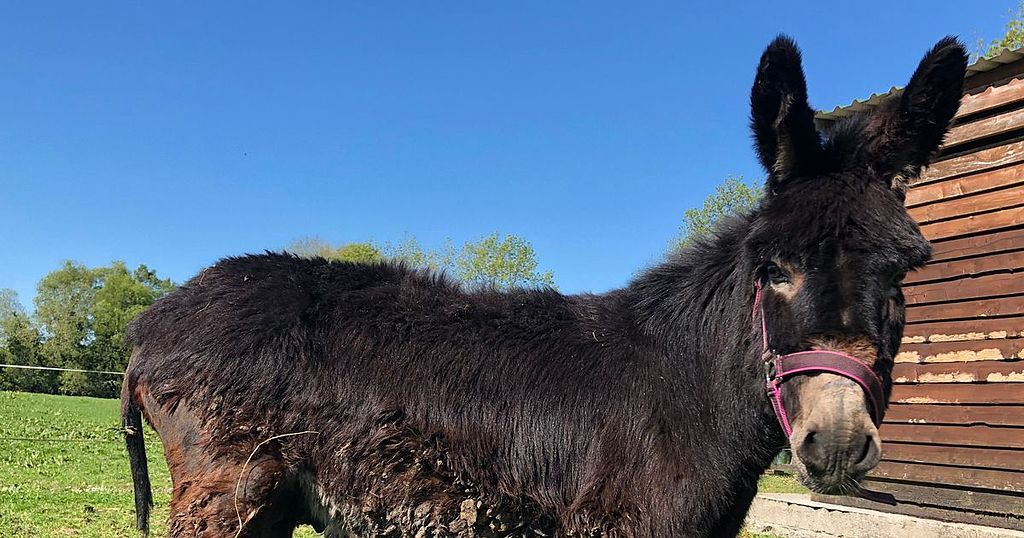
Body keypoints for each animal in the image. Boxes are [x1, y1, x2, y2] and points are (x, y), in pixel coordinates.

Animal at [121, 35, 967, 537]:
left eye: (903, 273)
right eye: (774, 270)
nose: (840, 441)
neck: (690, 391)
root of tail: (152, 322)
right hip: (228, 494)